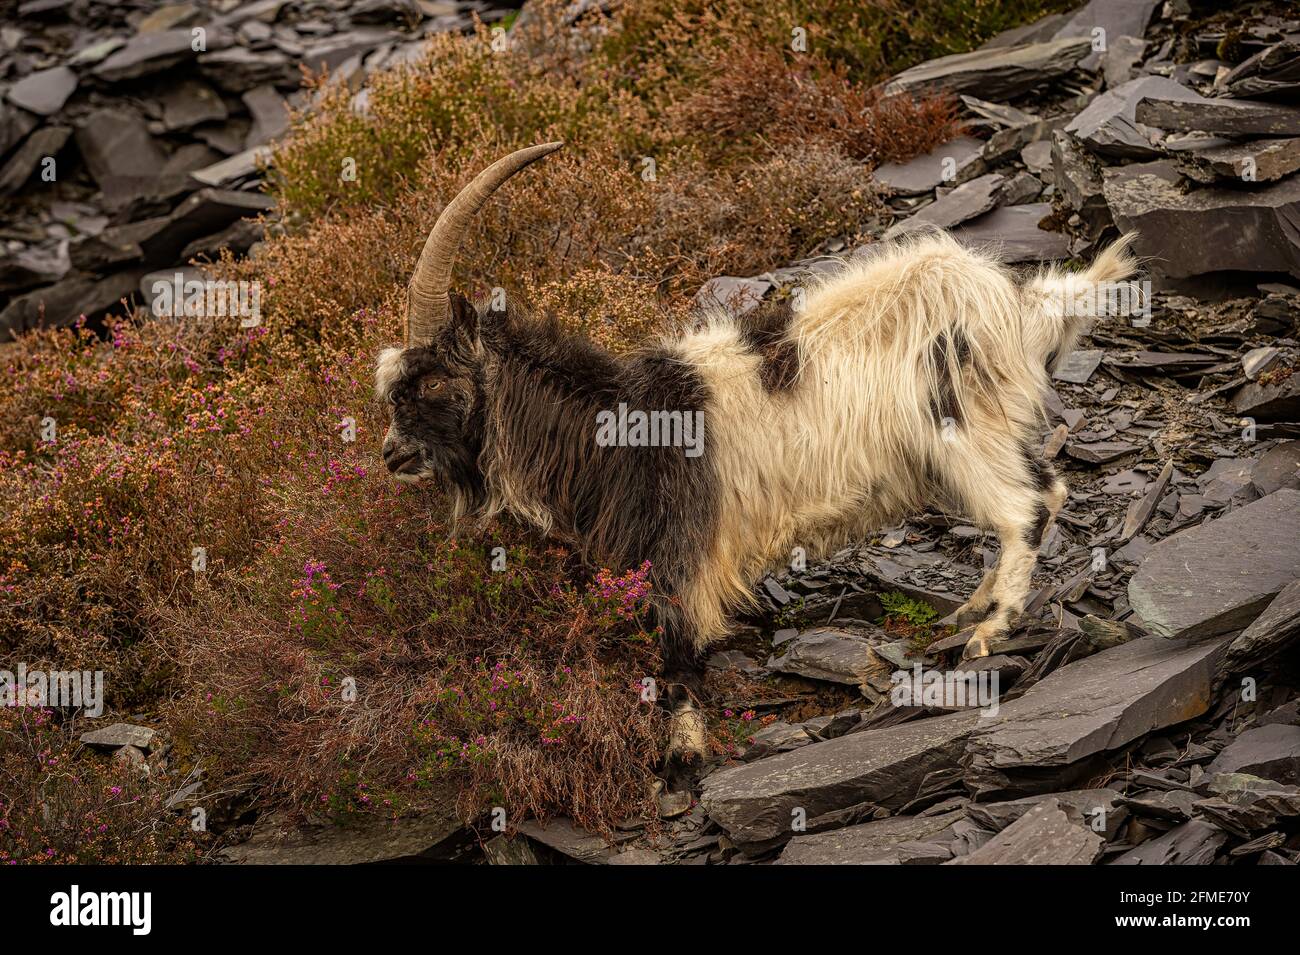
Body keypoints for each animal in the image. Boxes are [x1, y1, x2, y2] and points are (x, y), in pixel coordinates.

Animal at [375, 143, 1138, 779]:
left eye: (433, 384)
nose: (390, 454)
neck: (616, 424)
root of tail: (1017, 303)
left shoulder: (682, 553)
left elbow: (681, 655)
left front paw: (681, 756)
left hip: (960, 431)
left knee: (1027, 507)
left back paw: (988, 630)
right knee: (1045, 492)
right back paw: (970, 608)